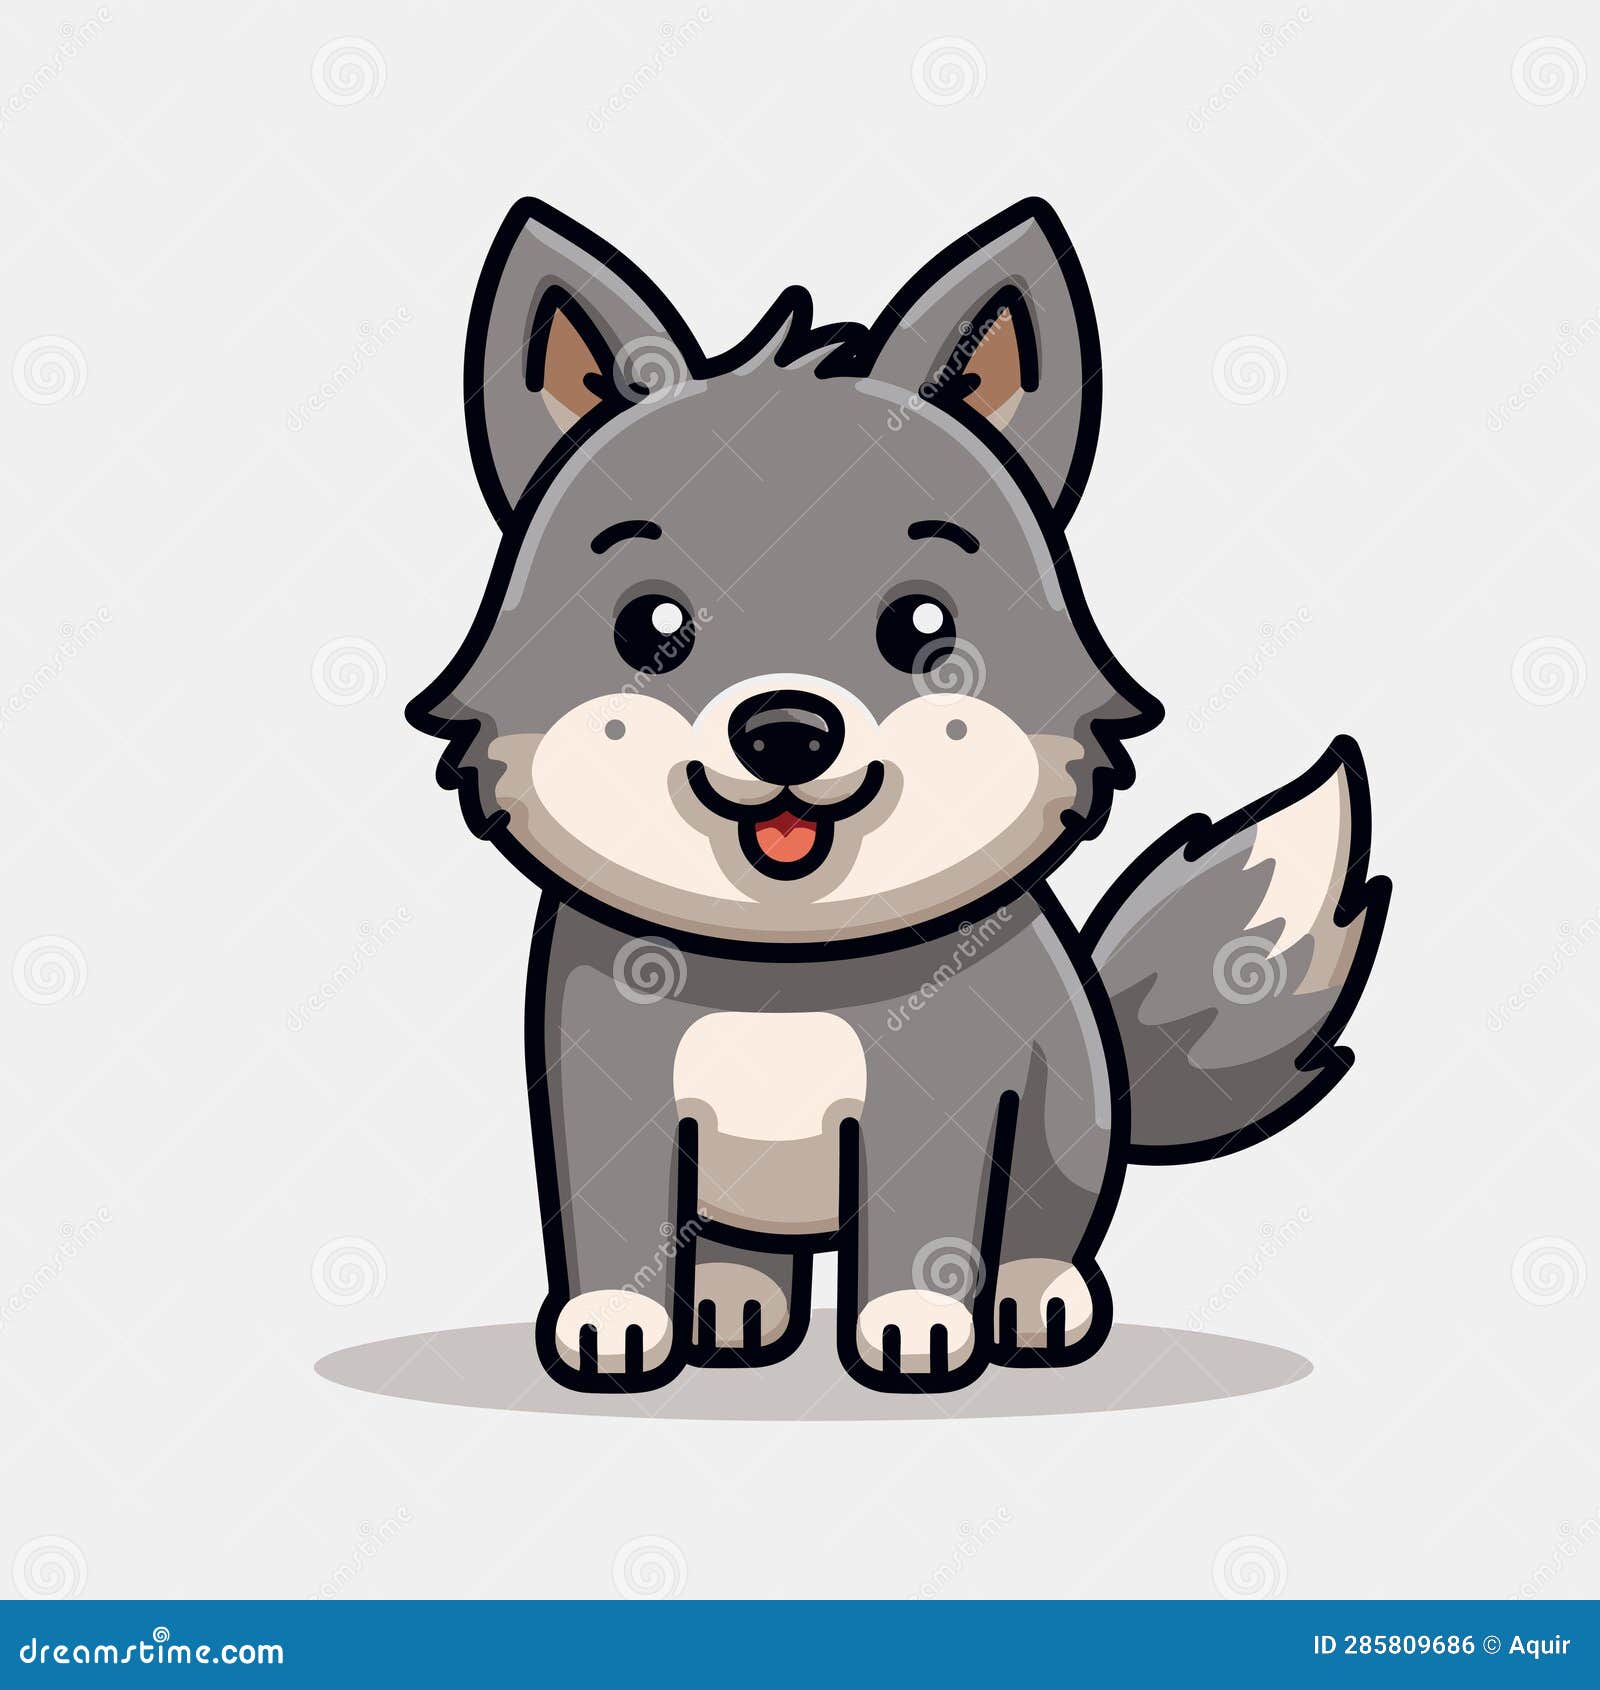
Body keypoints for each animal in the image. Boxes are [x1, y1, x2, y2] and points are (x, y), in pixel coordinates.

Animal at [407, 197, 1389, 1394]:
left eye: (922, 626)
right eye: (651, 625)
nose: (786, 726)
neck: (782, 974)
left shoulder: (944, 1101)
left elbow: (925, 1226)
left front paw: (917, 1332)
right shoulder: (608, 1090)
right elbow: (611, 1217)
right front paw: (613, 1327)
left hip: (1068, 1122)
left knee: (1046, 1225)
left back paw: (1035, 1304)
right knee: (743, 1251)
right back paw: (733, 1314)